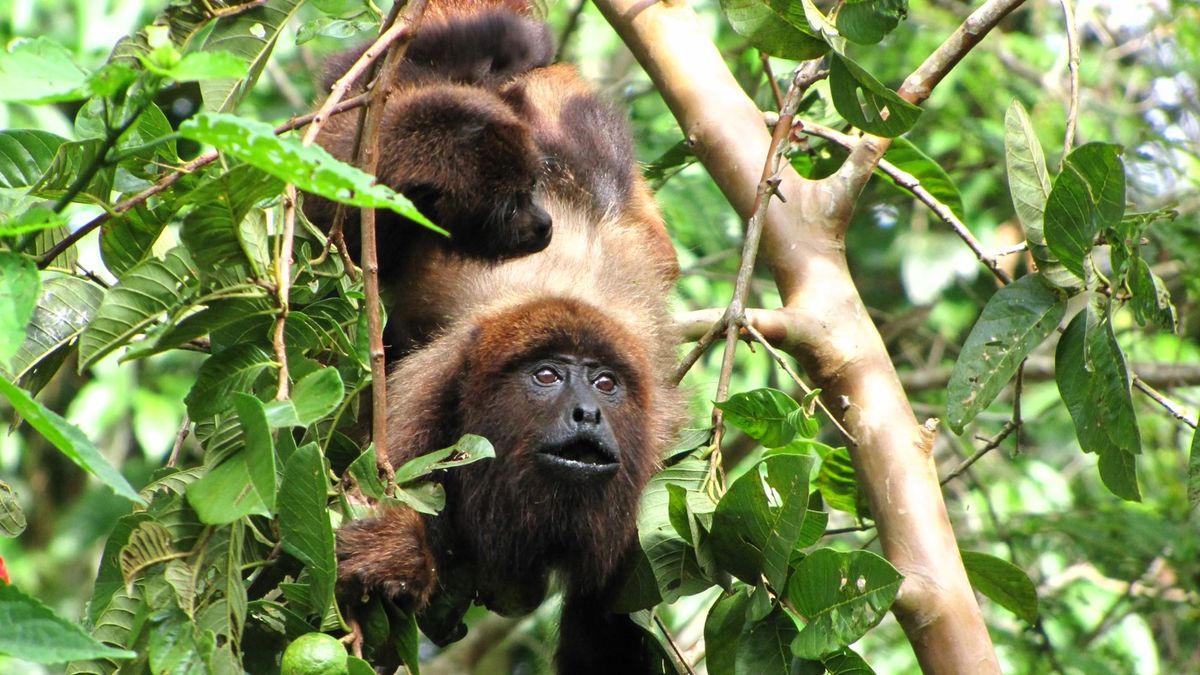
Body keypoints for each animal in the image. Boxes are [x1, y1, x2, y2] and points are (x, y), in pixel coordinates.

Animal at [311, 1, 684, 672]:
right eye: (547, 376)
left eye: (606, 385)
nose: (588, 413)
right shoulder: (428, 398)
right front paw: (398, 557)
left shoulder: (647, 462)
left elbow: (607, 624)